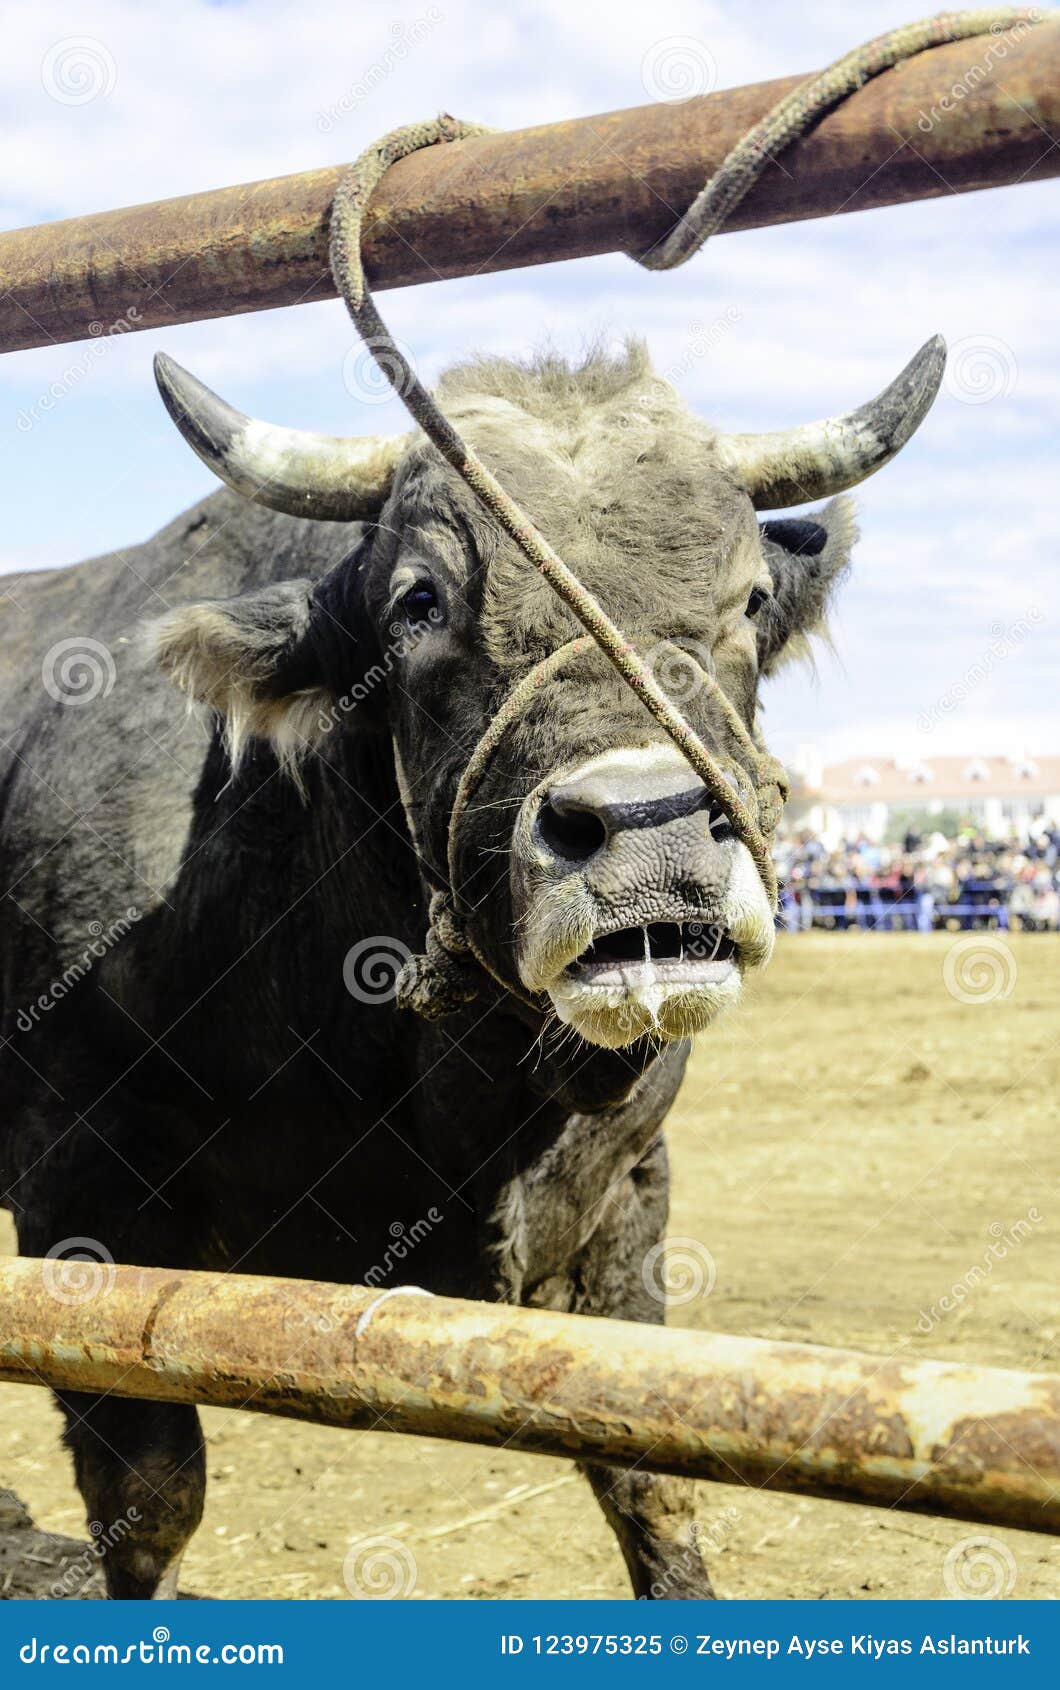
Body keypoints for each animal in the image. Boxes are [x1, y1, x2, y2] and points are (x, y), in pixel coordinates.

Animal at [0, 332, 944, 1598]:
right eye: (421, 599)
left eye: (748, 595)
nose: (648, 831)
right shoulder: (79, 1191)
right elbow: (150, 1503)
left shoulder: (625, 1192)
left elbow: (650, 1473)